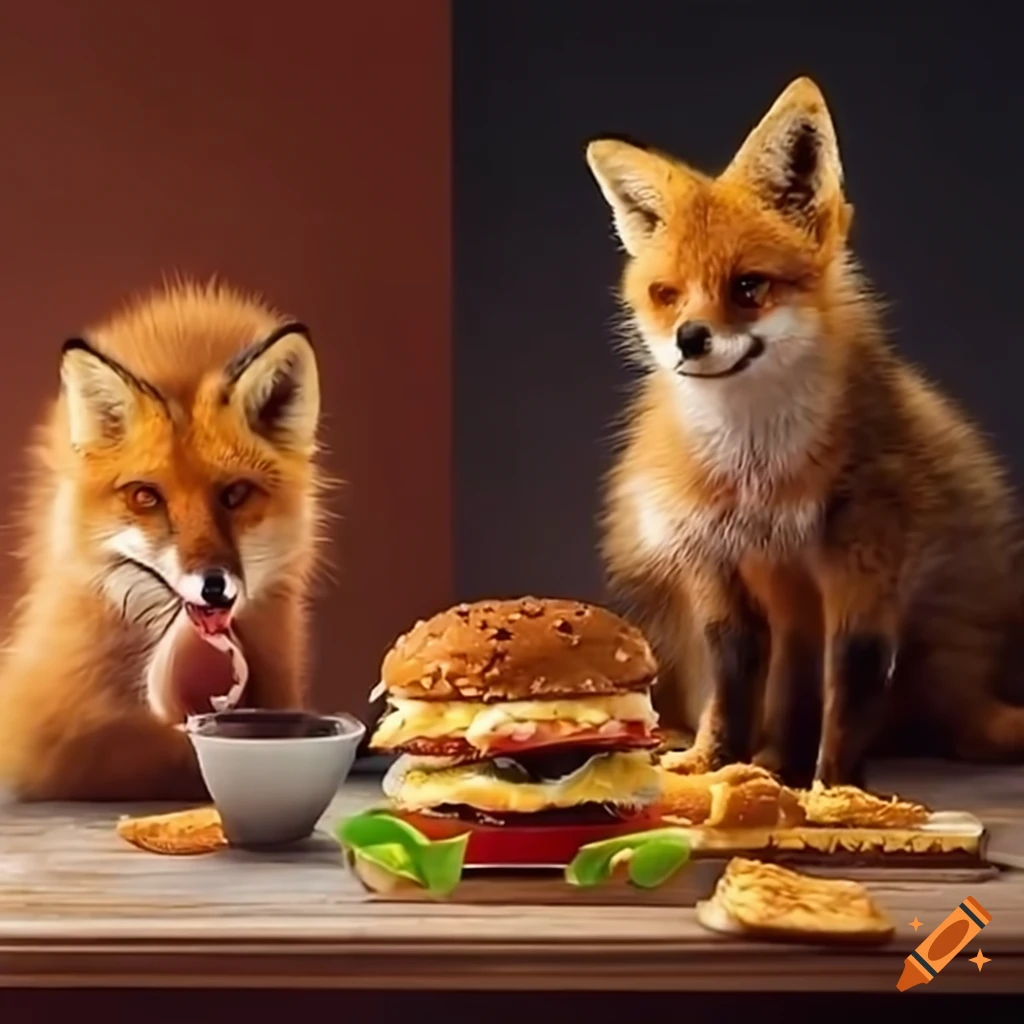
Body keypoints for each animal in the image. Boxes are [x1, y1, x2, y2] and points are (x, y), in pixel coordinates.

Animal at [586, 77, 1024, 790]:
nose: (689, 340)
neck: (761, 474)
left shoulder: (861, 562)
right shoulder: (713, 560)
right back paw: (761, 763)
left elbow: (850, 688)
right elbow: (732, 684)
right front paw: (712, 763)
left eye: (748, 287)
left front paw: (835, 790)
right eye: (668, 294)